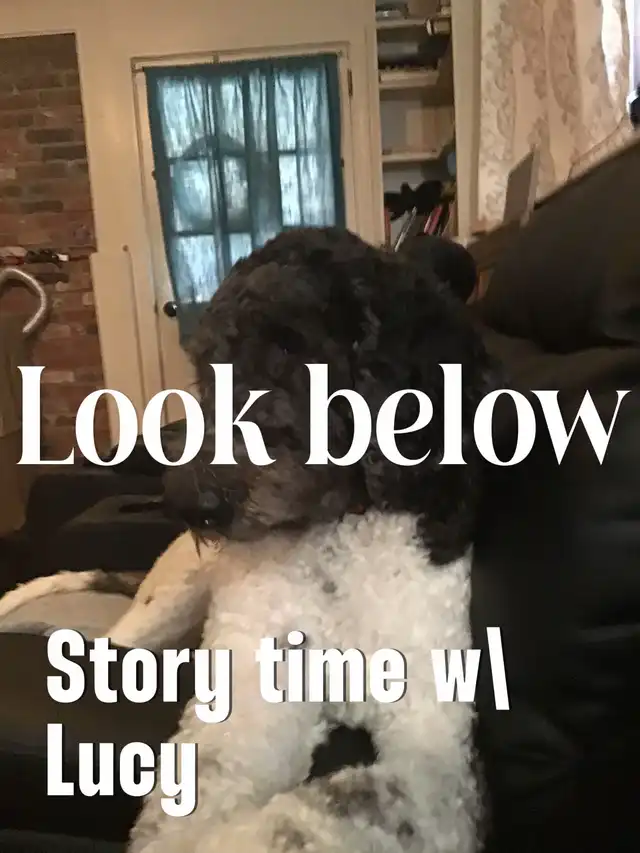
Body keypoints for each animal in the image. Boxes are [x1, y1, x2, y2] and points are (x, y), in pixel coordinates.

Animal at [127, 226, 496, 853]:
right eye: (207, 364)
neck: (333, 547)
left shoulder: (433, 747)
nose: (192, 504)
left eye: (293, 350)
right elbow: (197, 787)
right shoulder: (250, 699)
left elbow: (304, 815)